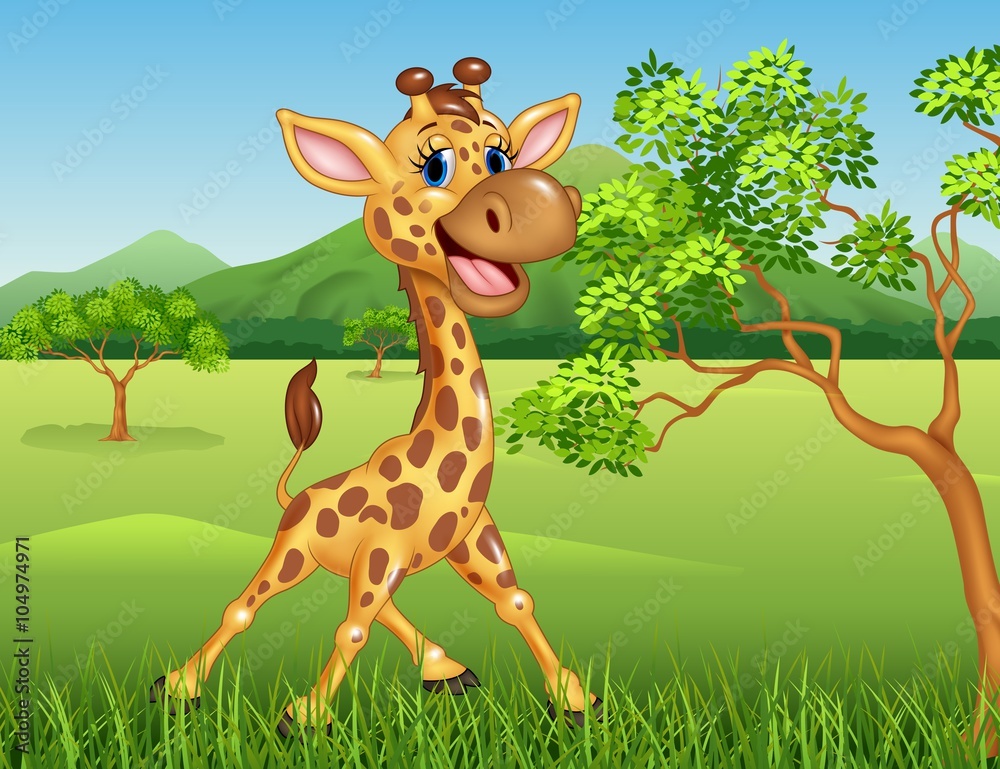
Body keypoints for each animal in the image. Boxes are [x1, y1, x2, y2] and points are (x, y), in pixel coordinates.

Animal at [150, 57, 600, 736]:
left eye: (502, 155)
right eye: (434, 166)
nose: (543, 203)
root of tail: (296, 496)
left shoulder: (469, 538)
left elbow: (516, 601)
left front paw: (574, 701)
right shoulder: (387, 548)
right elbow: (351, 630)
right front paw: (304, 721)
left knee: (376, 608)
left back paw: (446, 669)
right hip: (295, 549)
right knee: (246, 606)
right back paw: (178, 687)